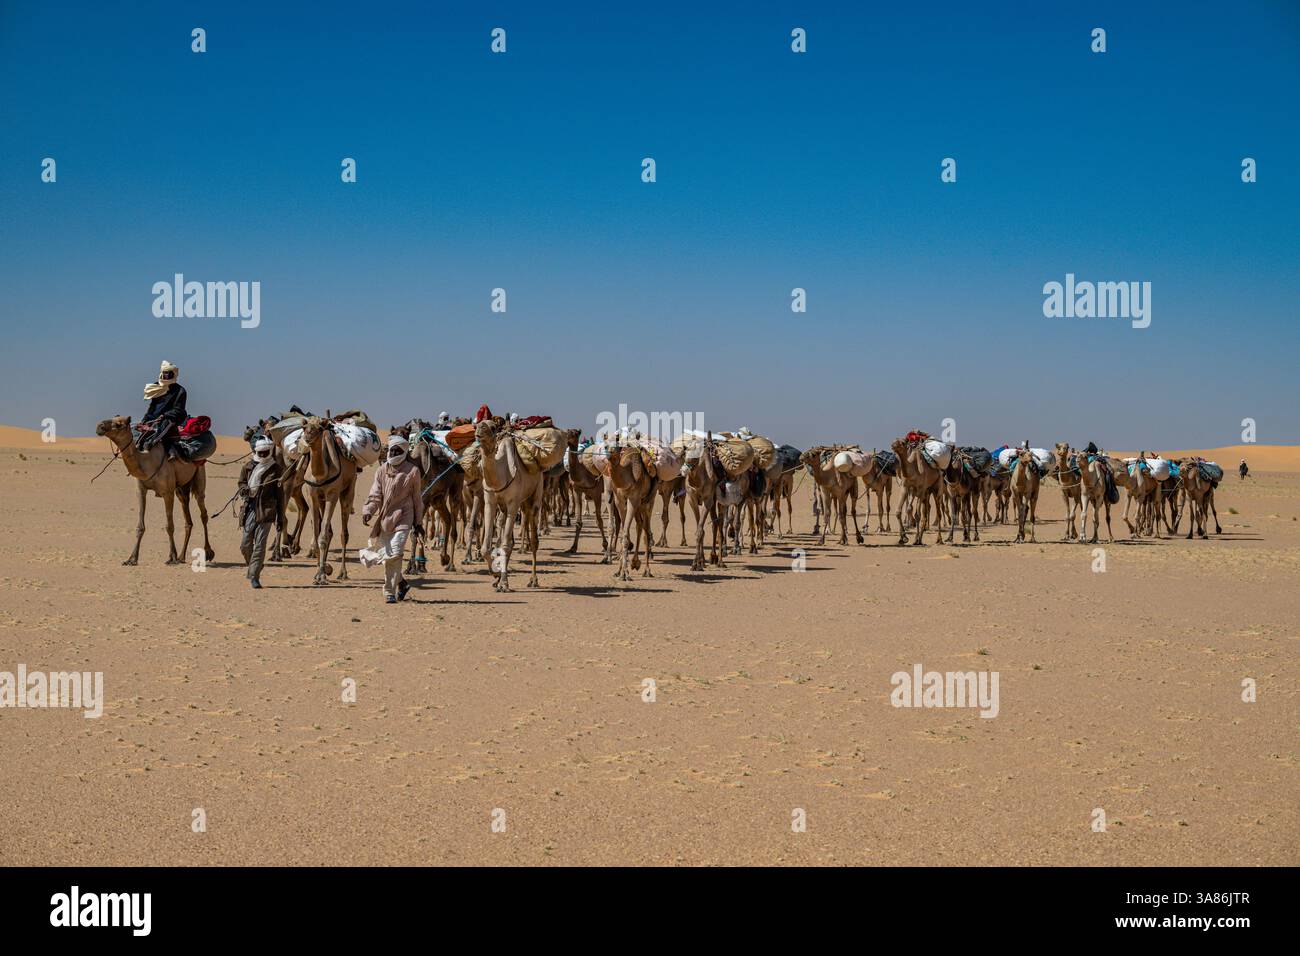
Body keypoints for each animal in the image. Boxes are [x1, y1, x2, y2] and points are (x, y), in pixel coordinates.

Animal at [95, 415, 214, 566]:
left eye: (119, 424)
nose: (99, 426)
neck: (147, 462)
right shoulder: (141, 490)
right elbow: (140, 527)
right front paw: (131, 559)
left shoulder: (167, 493)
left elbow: (169, 526)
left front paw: (172, 557)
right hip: (181, 489)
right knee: (188, 519)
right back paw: (182, 556)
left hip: (199, 474)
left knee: (203, 513)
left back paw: (207, 553)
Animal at [296, 416, 360, 585]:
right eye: (304, 427)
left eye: (318, 429)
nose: (307, 438)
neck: (320, 475)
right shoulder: (312, 495)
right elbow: (317, 532)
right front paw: (318, 574)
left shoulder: (332, 494)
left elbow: (322, 536)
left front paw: (322, 576)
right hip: (322, 500)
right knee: (329, 530)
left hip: (348, 490)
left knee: (344, 533)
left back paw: (342, 573)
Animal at [475, 417, 543, 591]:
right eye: (477, 424)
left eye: (493, 427)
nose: (479, 429)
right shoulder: (490, 501)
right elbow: (487, 546)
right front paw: (496, 575)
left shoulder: (513, 504)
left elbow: (505, 545)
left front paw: (504, 582)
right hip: (507, 507)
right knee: (505, 535)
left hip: (534, 496)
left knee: (534, 539)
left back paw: (533, 580)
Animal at [605, 438, 659, 580]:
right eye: (605, 445)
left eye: (616, 446)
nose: (609, 452)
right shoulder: (619, 500)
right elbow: (625, 533)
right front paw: (619, 571)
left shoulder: (633, 499)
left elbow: (625, 535)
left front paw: (625, 573)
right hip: (639, 506)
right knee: (640, 525)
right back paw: (635, 563)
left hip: (648, 501)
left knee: (647, 531)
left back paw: (646, 570)